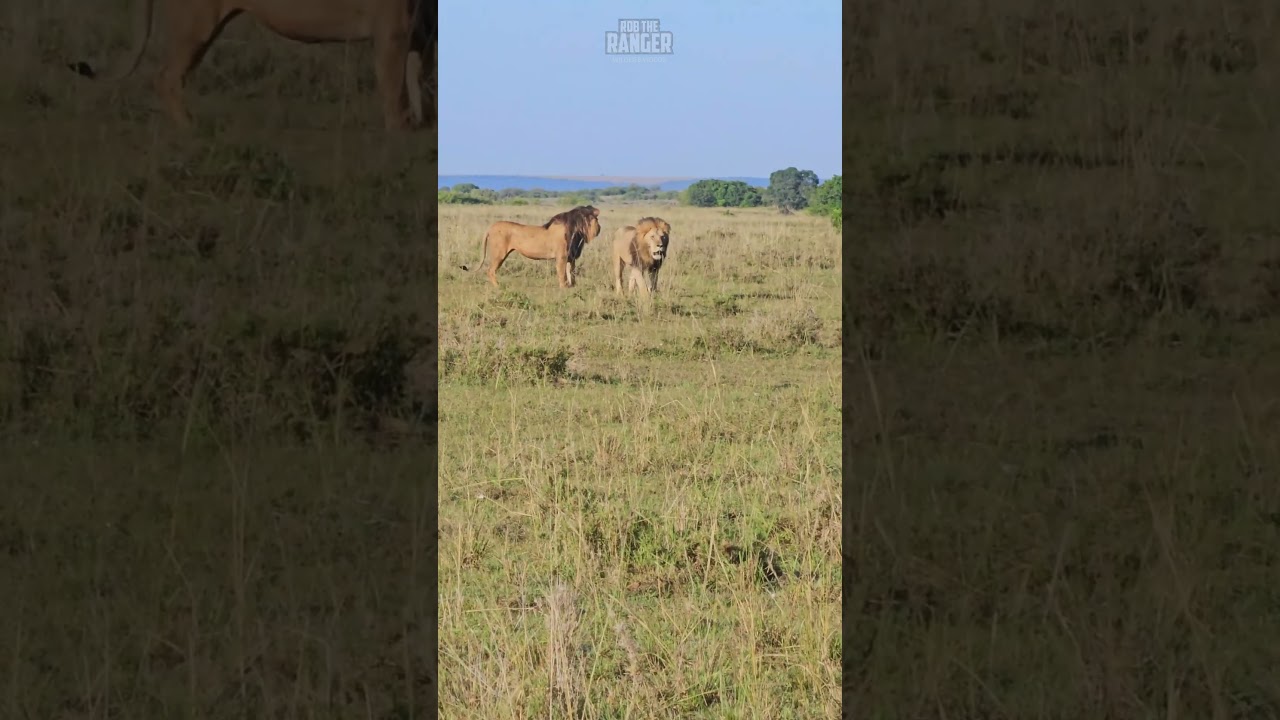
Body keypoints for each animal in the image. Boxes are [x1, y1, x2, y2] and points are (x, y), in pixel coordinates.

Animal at [68, 0, 436, 131]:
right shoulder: (392, 29)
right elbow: (395, 93)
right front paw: (399, 140)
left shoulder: (420, 32)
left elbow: (420, 83)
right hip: (196, 22)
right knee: (166, 77)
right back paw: (192, 132)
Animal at [461, 206, 602, 288]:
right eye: (596, 219)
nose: (599, 228)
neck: (577, 231)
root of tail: (490, 227)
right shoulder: (561, 257)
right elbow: (562, 274)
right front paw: (563, 288)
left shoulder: (570, 258)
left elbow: (571, 273)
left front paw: (572, 287)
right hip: (499, 254)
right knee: (490, 270)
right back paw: (498, 287)